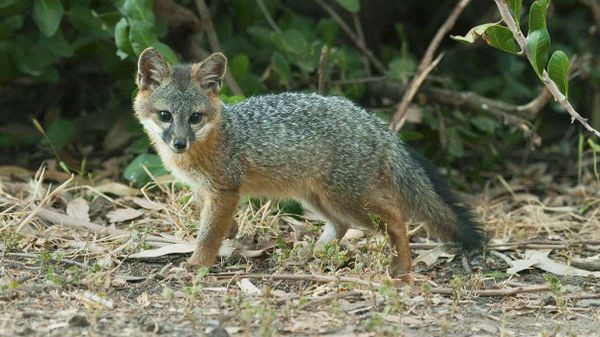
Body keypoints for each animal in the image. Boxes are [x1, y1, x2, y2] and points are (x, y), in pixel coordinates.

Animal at [134, 46, 486, 274]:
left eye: (195, 117)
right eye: (165, 116)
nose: (179, 143)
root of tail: (373, 122)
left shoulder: (225, 189)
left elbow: (208, 234)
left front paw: (198, 264)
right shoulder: (204, 190)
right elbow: (209, 219)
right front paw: (231, 231)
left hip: (347, 198)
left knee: (396, 218)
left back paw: (401, 267)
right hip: (317, 197)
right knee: (342, 225)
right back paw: (313, 254)